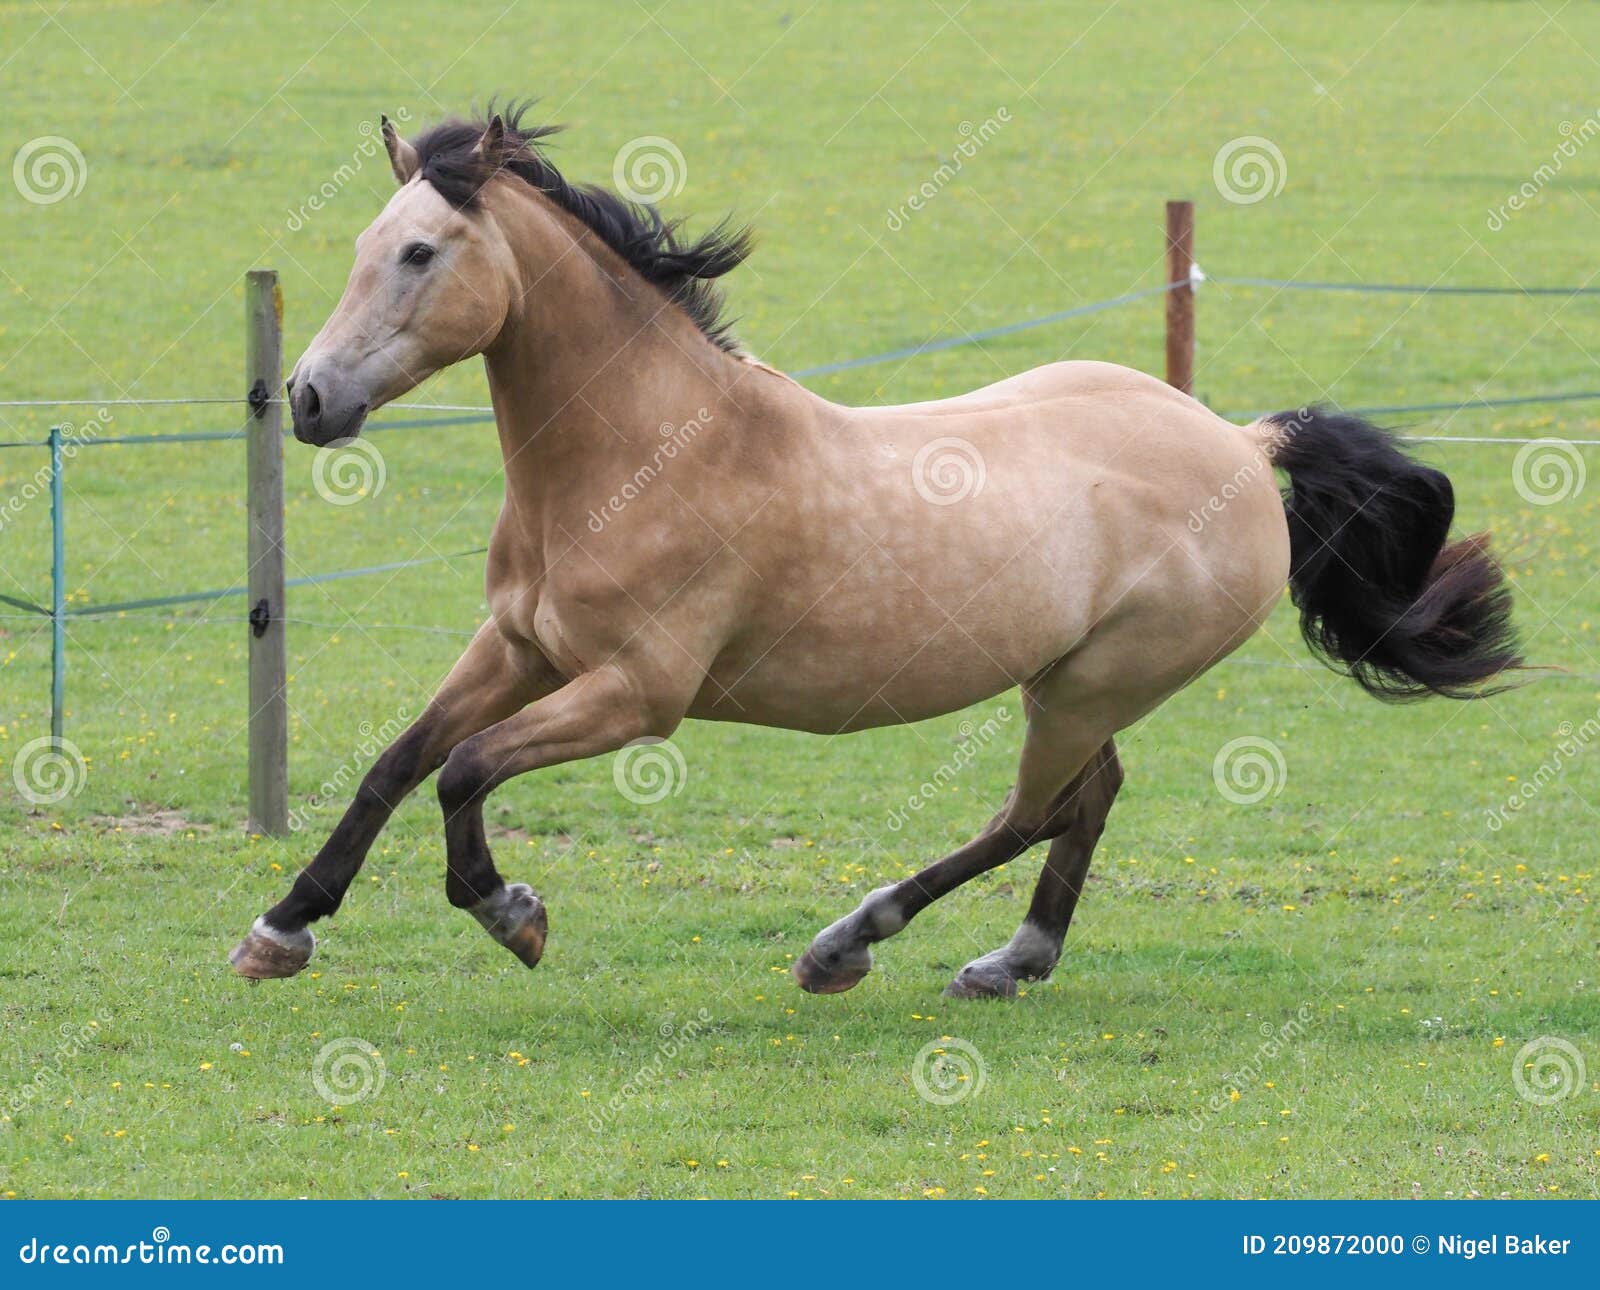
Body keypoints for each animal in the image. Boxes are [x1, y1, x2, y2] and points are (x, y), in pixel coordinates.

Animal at [230, 105, 1520, 998]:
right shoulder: (517, 649)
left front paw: (514, 913)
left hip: (1090, 683)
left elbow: (463, 771)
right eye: (366, 242)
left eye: (419, 254)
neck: (642, 456)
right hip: (1074, 685)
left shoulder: (634, 697)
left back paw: (849, 945)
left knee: (1039, 810)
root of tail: (1245, 445)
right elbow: (397, 763)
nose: (310, 399)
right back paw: (1009, 961)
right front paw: (280, 929)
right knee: (1086, 800)